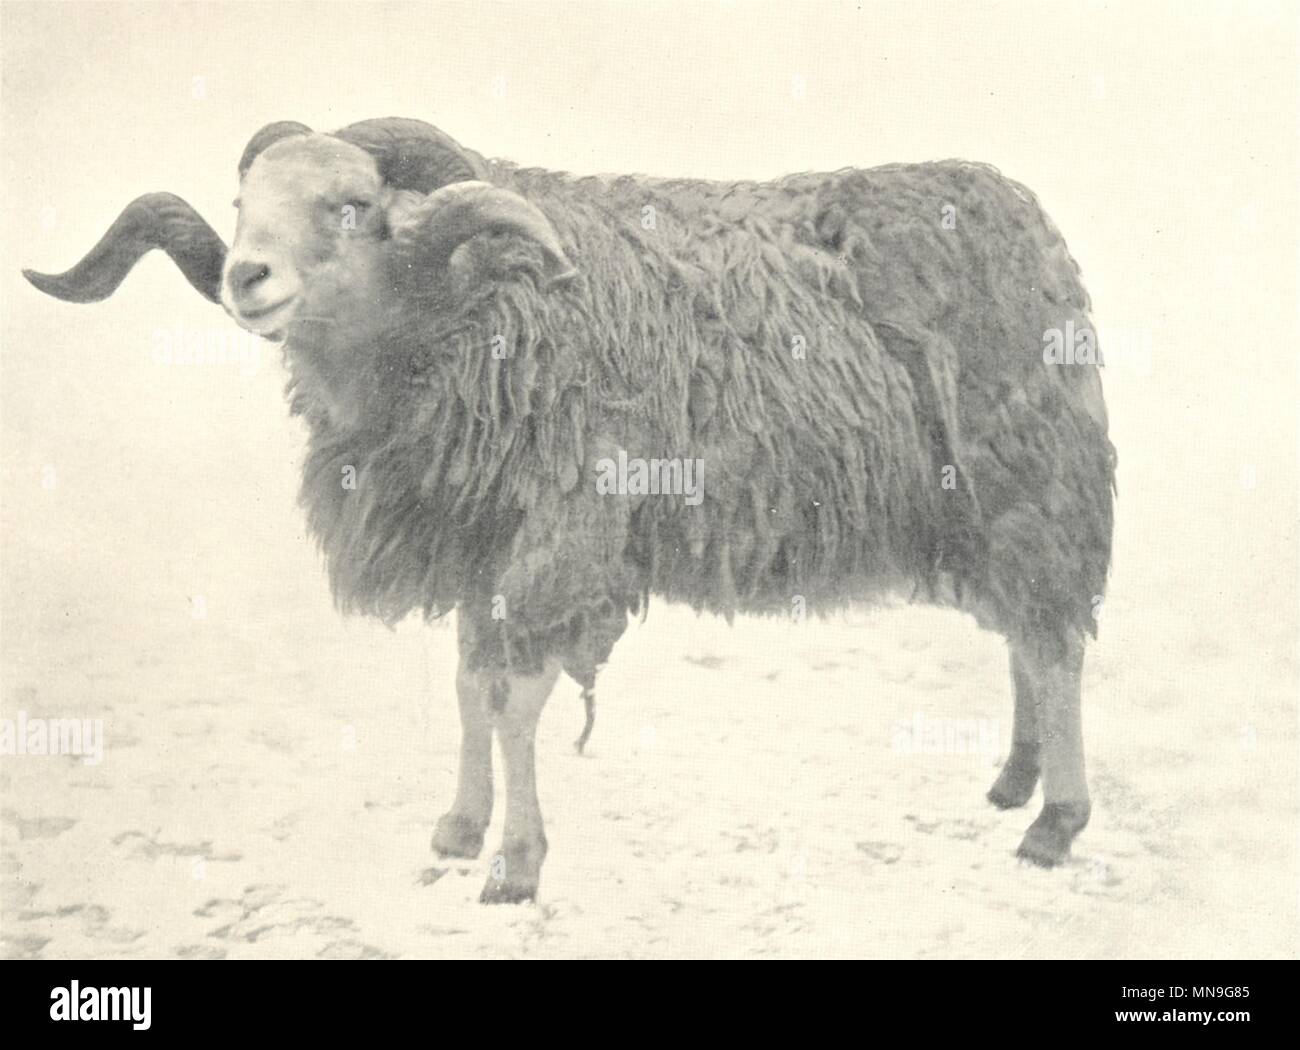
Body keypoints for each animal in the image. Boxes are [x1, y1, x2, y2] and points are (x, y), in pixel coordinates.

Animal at [24, 117, 1116, 904]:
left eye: (350, 206)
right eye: (242, 203)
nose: (243, 277)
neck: (470, 309)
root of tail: (1030, 222)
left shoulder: (563, 542)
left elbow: (517, 702)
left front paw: (515, 866)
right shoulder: (480, 546)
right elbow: (470, 688)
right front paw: (459, 829)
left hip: (1030, 479)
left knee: (1054, 643)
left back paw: (1053, 824)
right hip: (977, 507)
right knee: (1026, 636)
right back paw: (1013, 779)